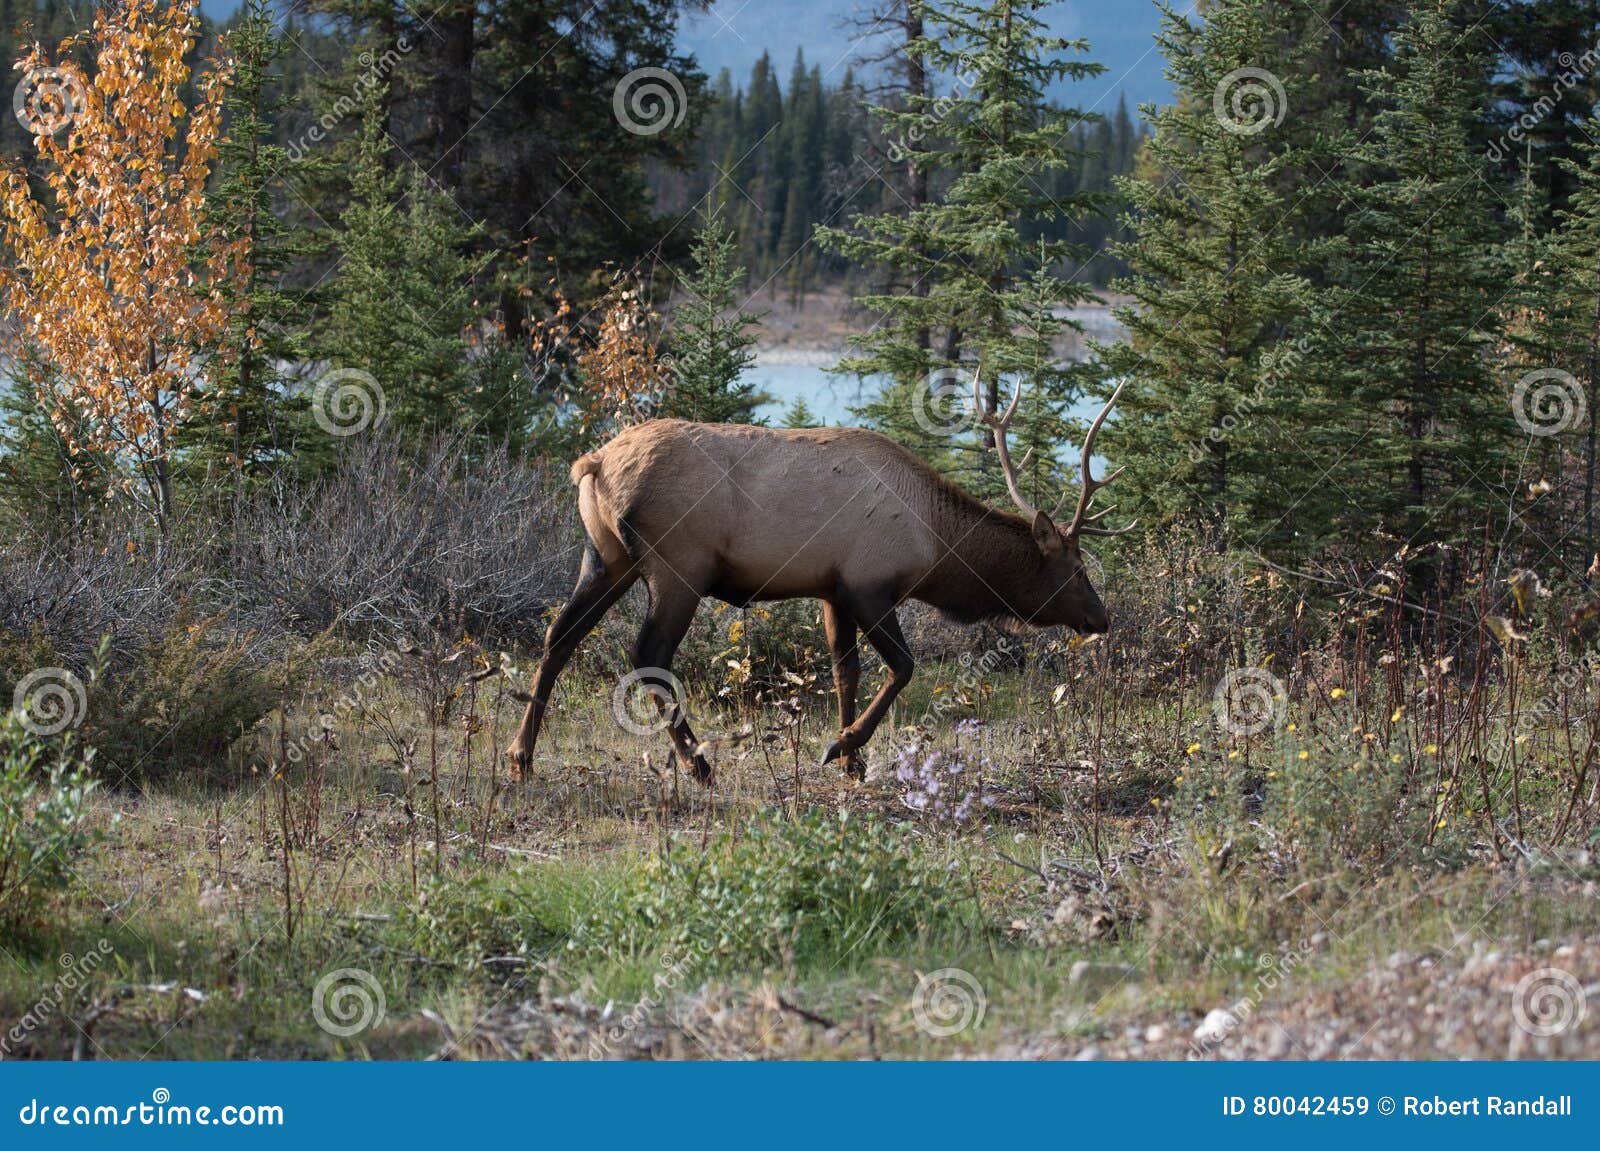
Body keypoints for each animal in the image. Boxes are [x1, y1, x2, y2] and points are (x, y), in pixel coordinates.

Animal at [504, 365, 1131, 783]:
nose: (1102, 618)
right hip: (677, 565)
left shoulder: (831, 590)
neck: (935, 547)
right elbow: (903, 666)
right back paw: (699, 764)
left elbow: (844, 671)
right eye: (1077, 570)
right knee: (647, 652)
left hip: (605, 555)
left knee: (559, 633)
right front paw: (841, 747)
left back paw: (522, 755)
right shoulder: (869, 583)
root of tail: (592, 463)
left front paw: (852, 761)